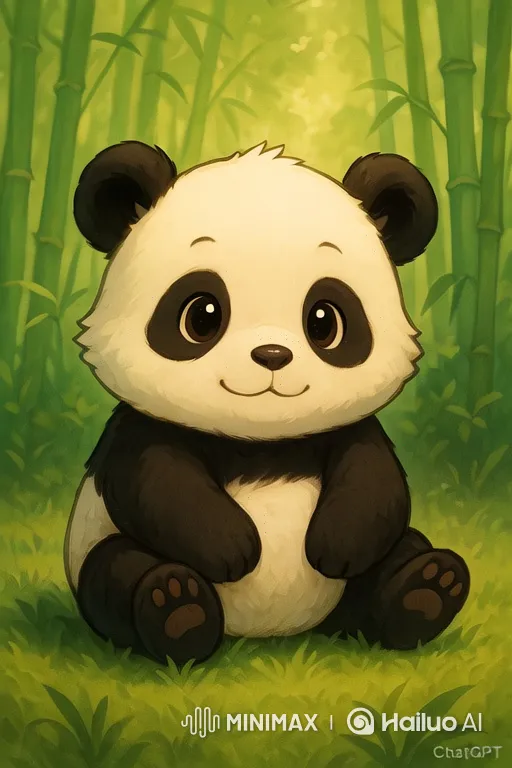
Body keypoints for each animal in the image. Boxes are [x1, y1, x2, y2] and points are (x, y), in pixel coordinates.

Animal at [65, 141, 470, 666]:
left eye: (324, 320)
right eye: (202, 314)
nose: (272, 356)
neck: (260, 437)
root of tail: (270, 631)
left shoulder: (351, 431)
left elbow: (375, 482)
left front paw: (336, 543)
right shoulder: (138, 429)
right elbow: (155, 481)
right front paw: (232, 546)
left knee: (398, 555)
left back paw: (426, 588)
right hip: (94, 547)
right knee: (114, 570)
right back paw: (176, 609)